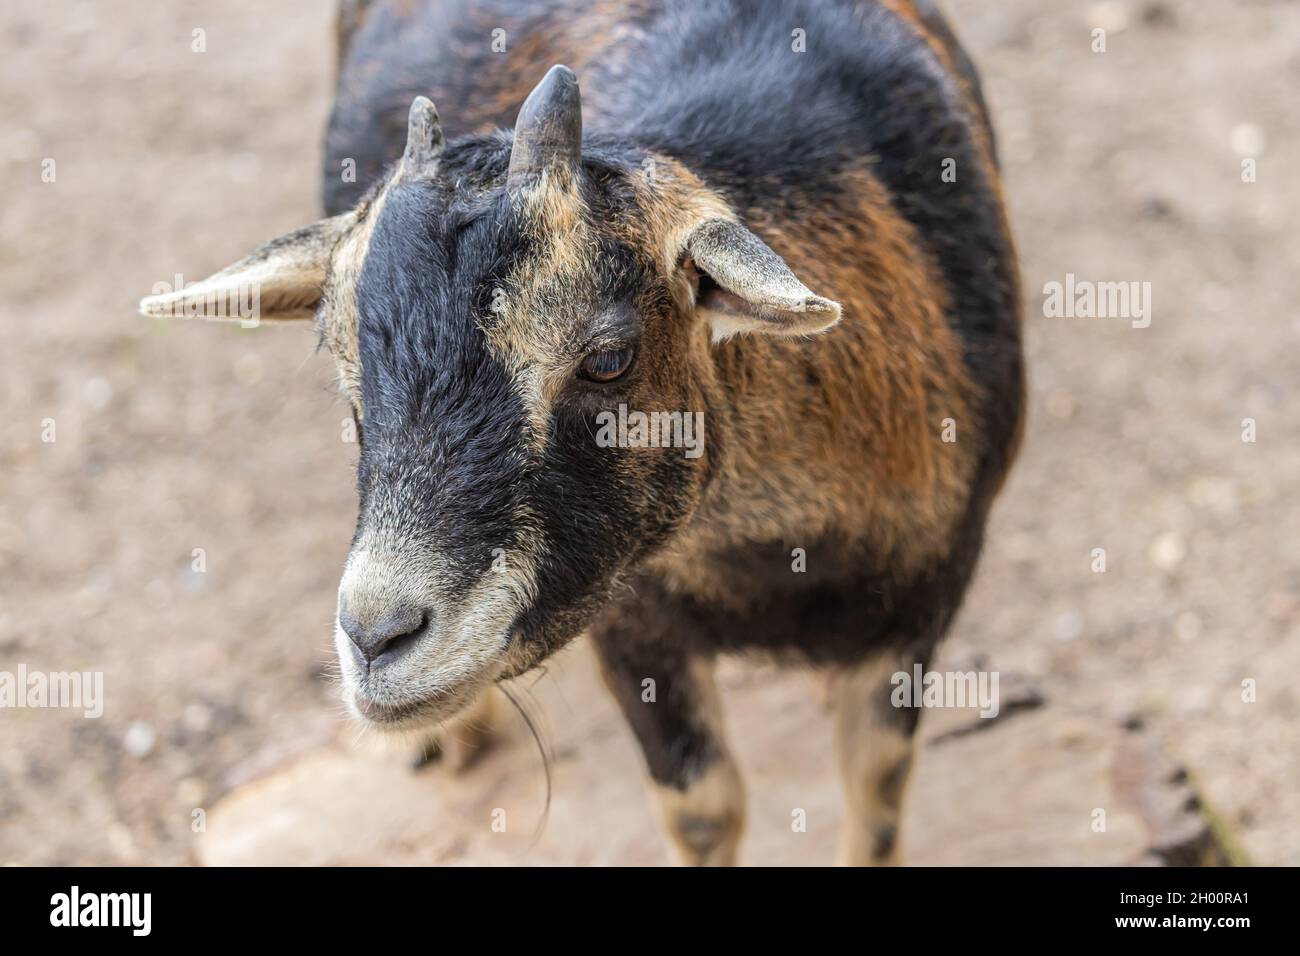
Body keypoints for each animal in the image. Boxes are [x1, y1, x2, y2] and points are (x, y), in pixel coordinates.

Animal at [140, 0, 1023, 865]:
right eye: (344, 370)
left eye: (606, 358)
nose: (376, 641)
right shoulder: (633, 614)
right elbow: (705, 811)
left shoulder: (929, 586)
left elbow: (876, 785)